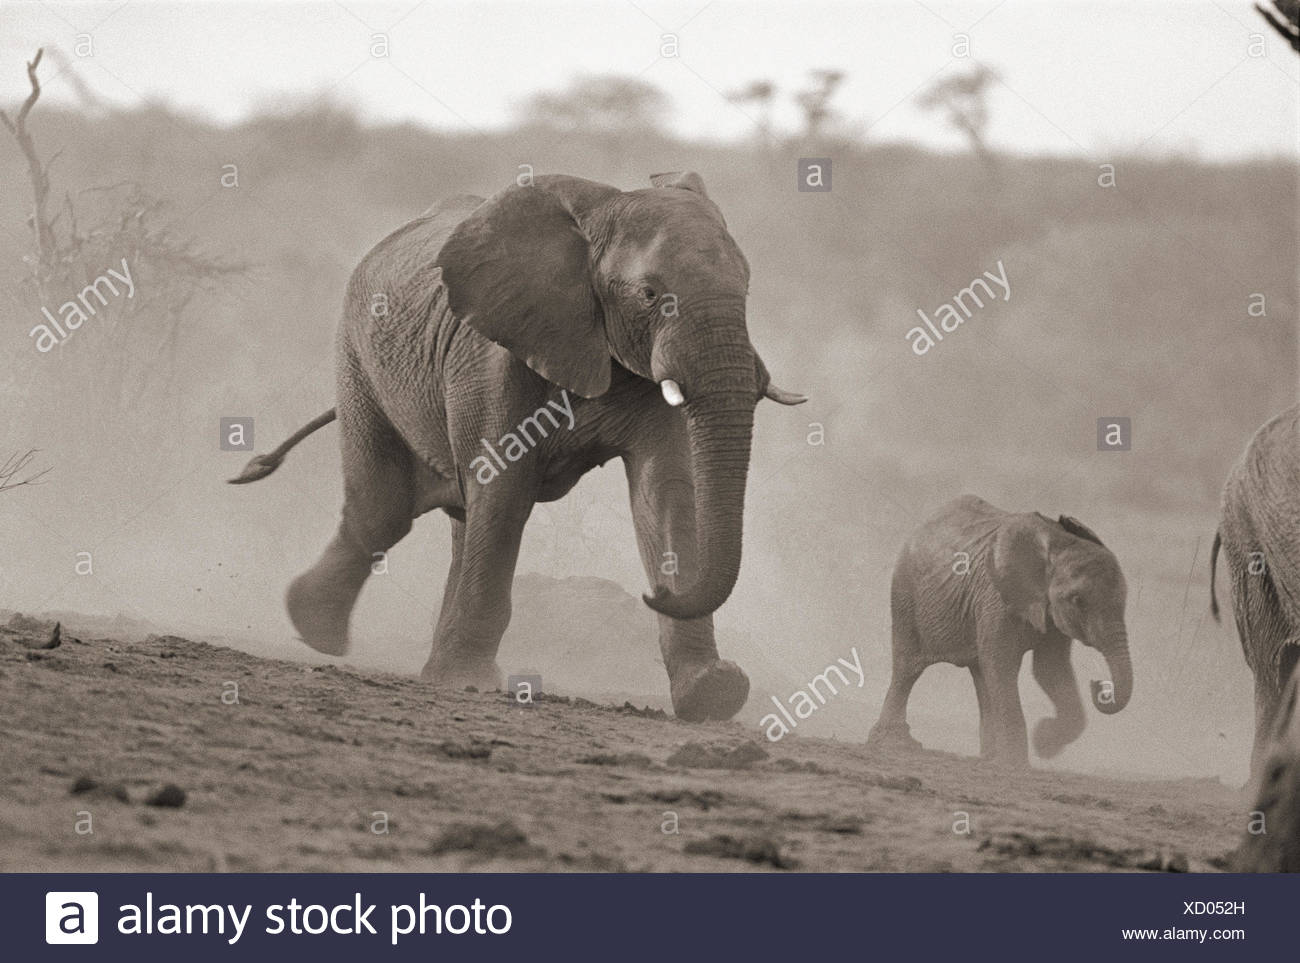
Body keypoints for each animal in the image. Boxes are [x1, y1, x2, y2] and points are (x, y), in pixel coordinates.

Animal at [229, 171, 805, 722]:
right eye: (648, 294)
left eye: (746, 290)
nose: (656, 594)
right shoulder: (493, 355)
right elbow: (505, 490)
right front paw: (470, 681)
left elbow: (663, 491)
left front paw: (712, 694)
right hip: (357, 358)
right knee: (385, 509)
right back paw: (318, 631)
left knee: (456, 514)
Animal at [868, 495, 1134, 767]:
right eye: (1078, 600)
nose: (1099, 685)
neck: (1056, 542)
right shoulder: (996, 597)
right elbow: (1002, 661)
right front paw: (1017, 763)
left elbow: (1050, 670)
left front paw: (1043, 744)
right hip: (905, 595)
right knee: (908, 668)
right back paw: (897, 745)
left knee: (981, 674)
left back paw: (987, 758)